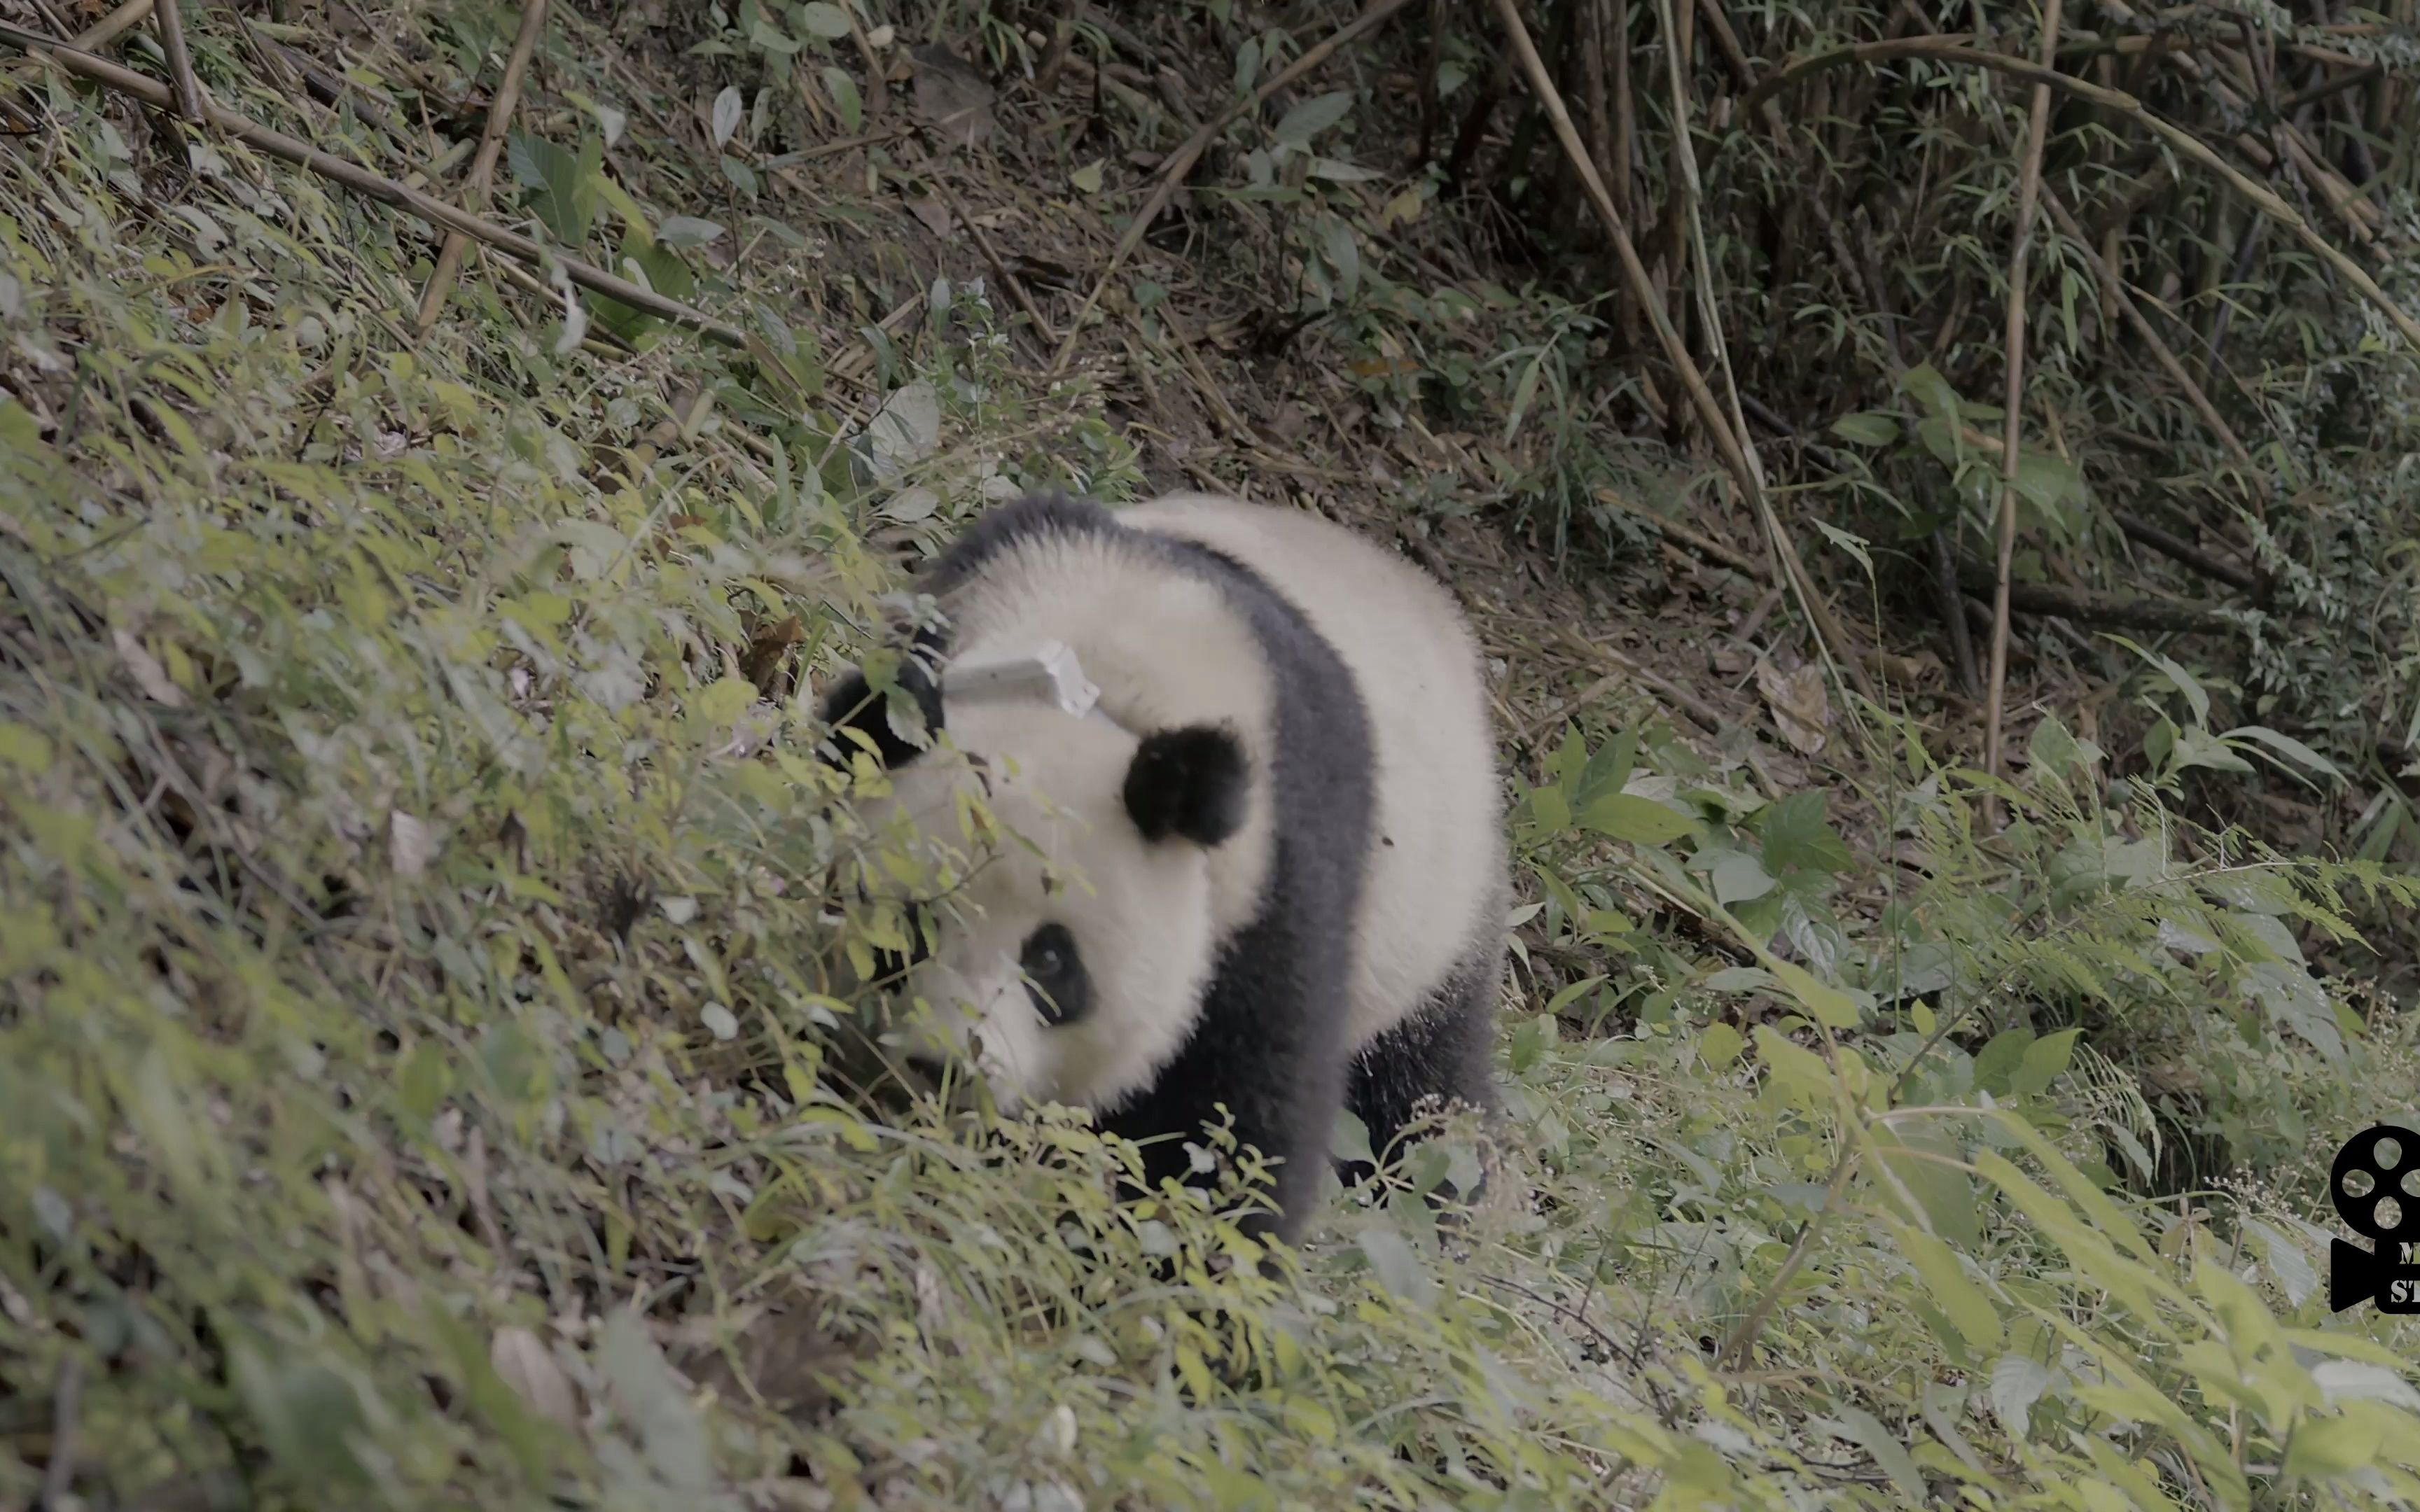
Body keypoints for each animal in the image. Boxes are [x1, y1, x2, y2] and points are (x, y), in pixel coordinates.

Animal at [816, 490, 1508, 1245]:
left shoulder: (1270, 884)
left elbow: (1229, 1125)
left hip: (1435, 916)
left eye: (1051, 961)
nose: (940, 1065)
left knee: (1424, 1094)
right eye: (908, 929)